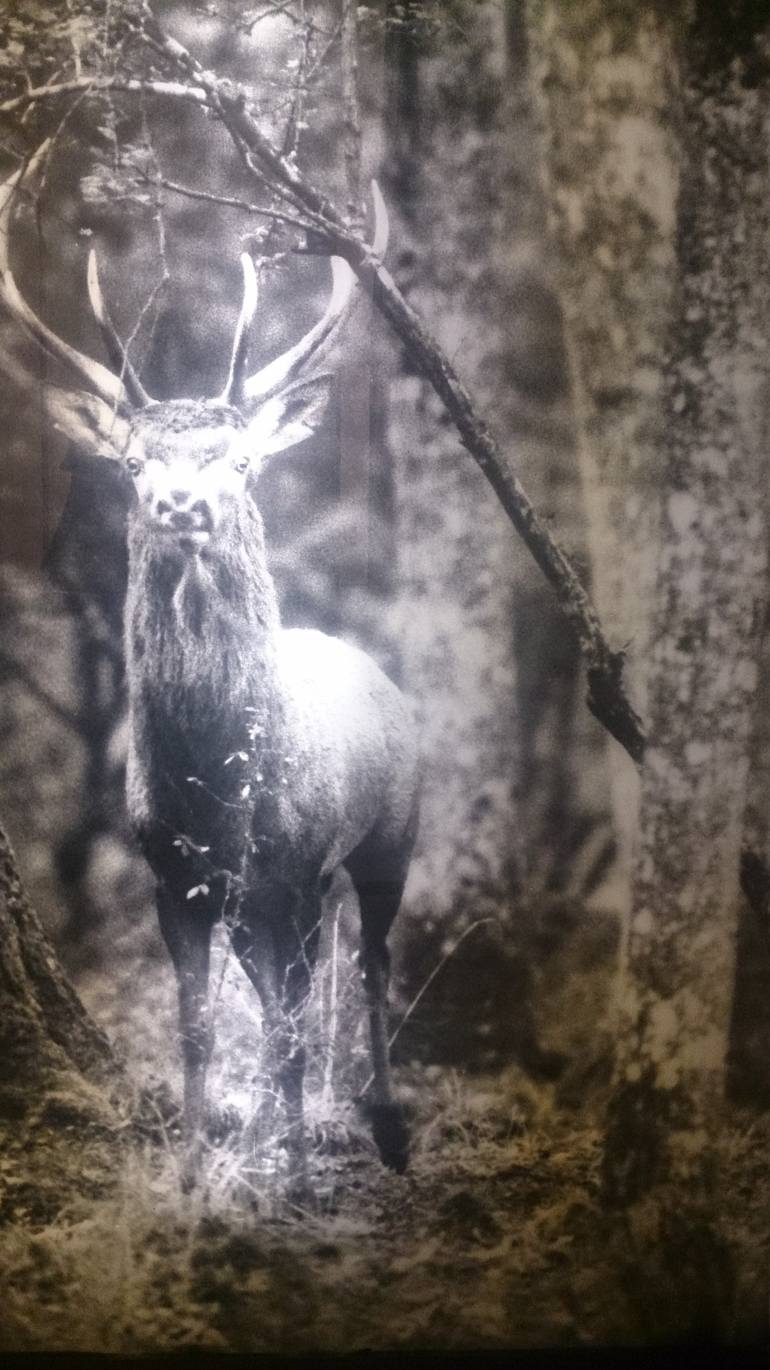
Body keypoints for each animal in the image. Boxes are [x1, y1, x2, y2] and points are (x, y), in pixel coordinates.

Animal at [0, 144, 420, 1199]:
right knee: (282, 995)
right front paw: (197, 1171)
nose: (181, 504)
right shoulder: (175, 875)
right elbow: (200, 1026)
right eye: (134, 463)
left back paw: (383, 1127)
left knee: (370, 964)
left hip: (390, 836)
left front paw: (298, 1176)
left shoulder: (299, 864)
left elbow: (290, 1032)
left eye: (238, 462)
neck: (218, 785)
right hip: (256, 899)